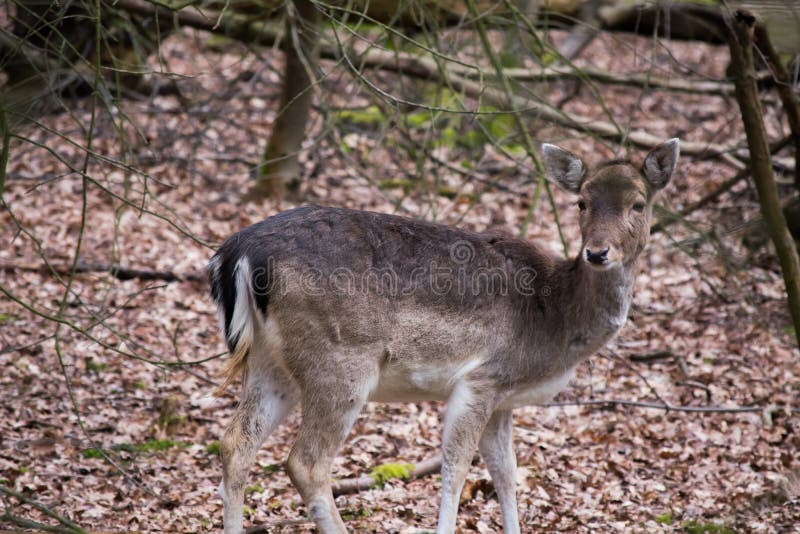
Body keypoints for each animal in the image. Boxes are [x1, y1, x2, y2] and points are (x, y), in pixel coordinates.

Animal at [208, 138, 680, 533]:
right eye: (581, 201)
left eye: (639, 203)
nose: (597, 252)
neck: (555, 320)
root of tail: (239, 252)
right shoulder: (482, 379)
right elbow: (456, 467)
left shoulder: (504, 398)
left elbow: (506, 472)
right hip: (339, 362)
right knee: (306, 463)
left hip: (271, 361)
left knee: (235, 443)